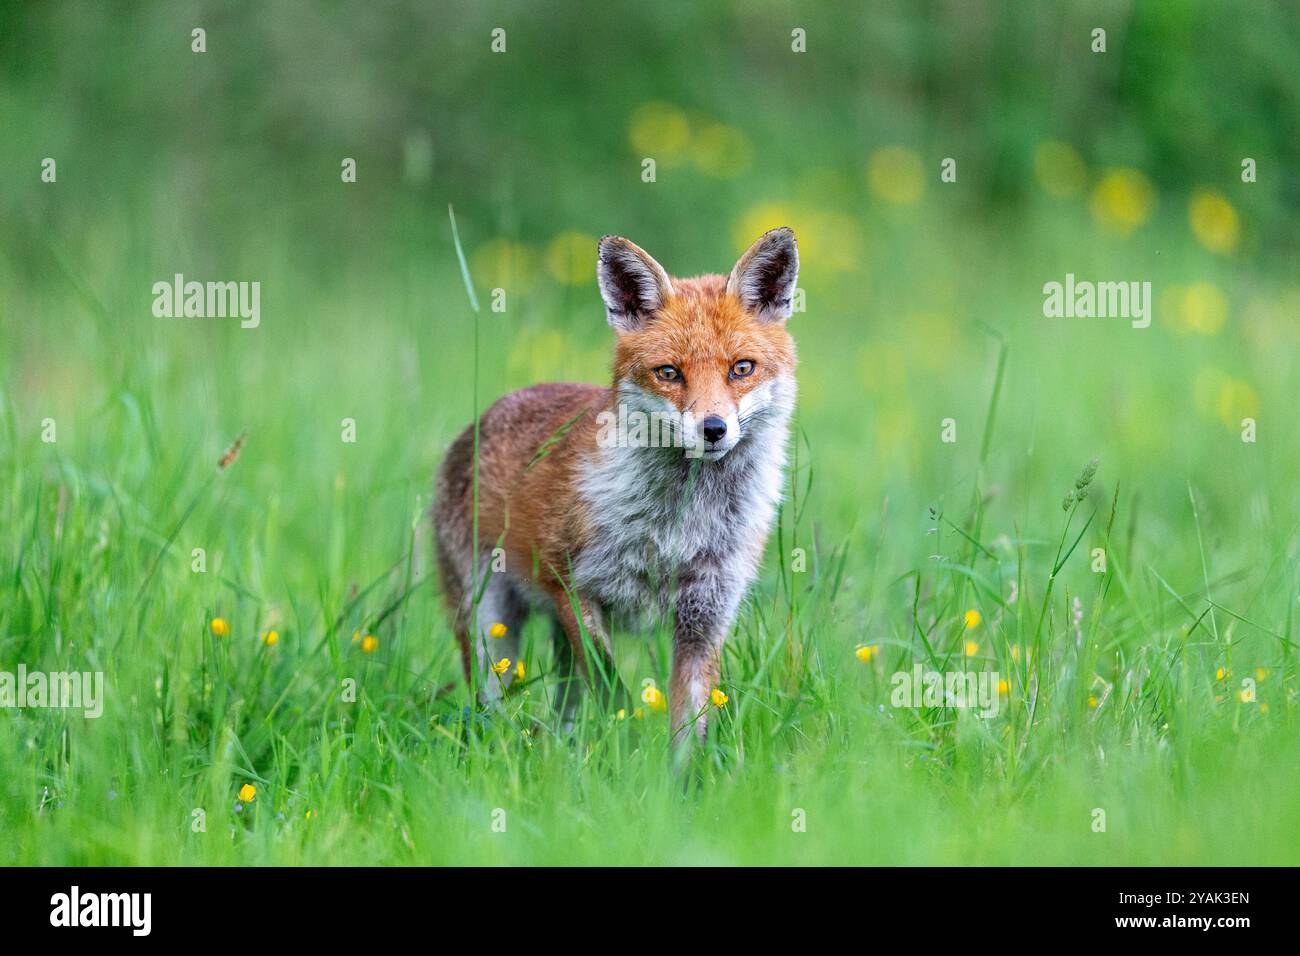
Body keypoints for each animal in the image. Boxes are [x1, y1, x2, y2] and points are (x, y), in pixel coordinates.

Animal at [432, 227, 799, 746]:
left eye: (741, 368)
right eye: (669, 373)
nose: (712, 429)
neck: (680, 526)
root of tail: (488, 413)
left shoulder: (706, 613)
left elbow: (690, 728)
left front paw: (672, 770)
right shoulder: (572, 588)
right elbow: (614, 693)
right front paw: (628, 750)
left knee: (563, 709)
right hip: (491, 624)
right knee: (493, 703)